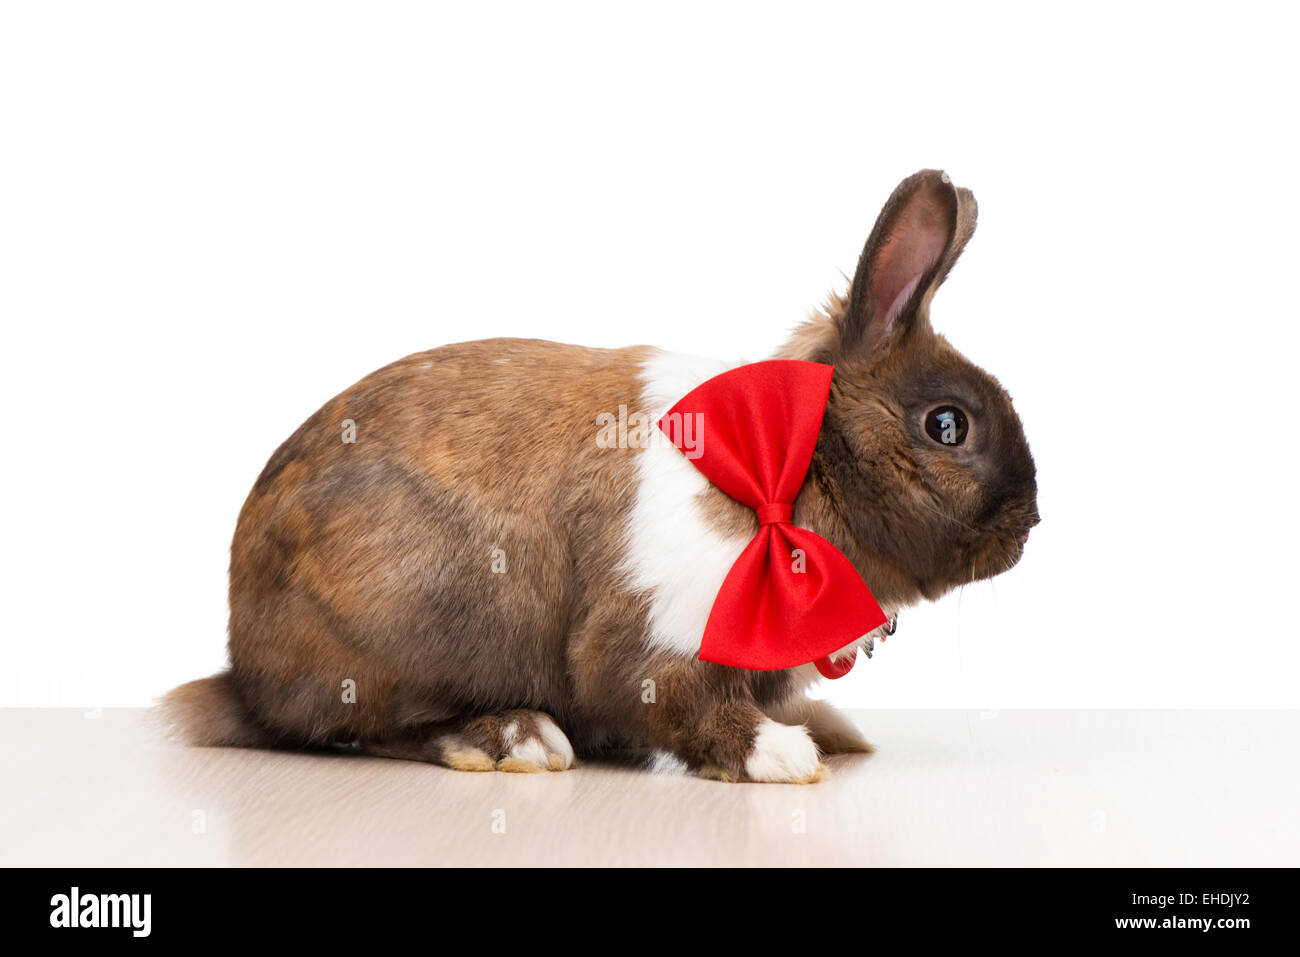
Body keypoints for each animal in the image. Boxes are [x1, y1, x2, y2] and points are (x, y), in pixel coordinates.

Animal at [162, 169, 1038, 783]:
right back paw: (514, 737)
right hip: (421, 614)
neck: (790, 476)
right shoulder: (657, 633)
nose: (1029, 524)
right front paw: (785, 756)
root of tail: (244, 669)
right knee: (368, 726)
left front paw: (831, 730)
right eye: (948, 425)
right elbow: (684, 703)